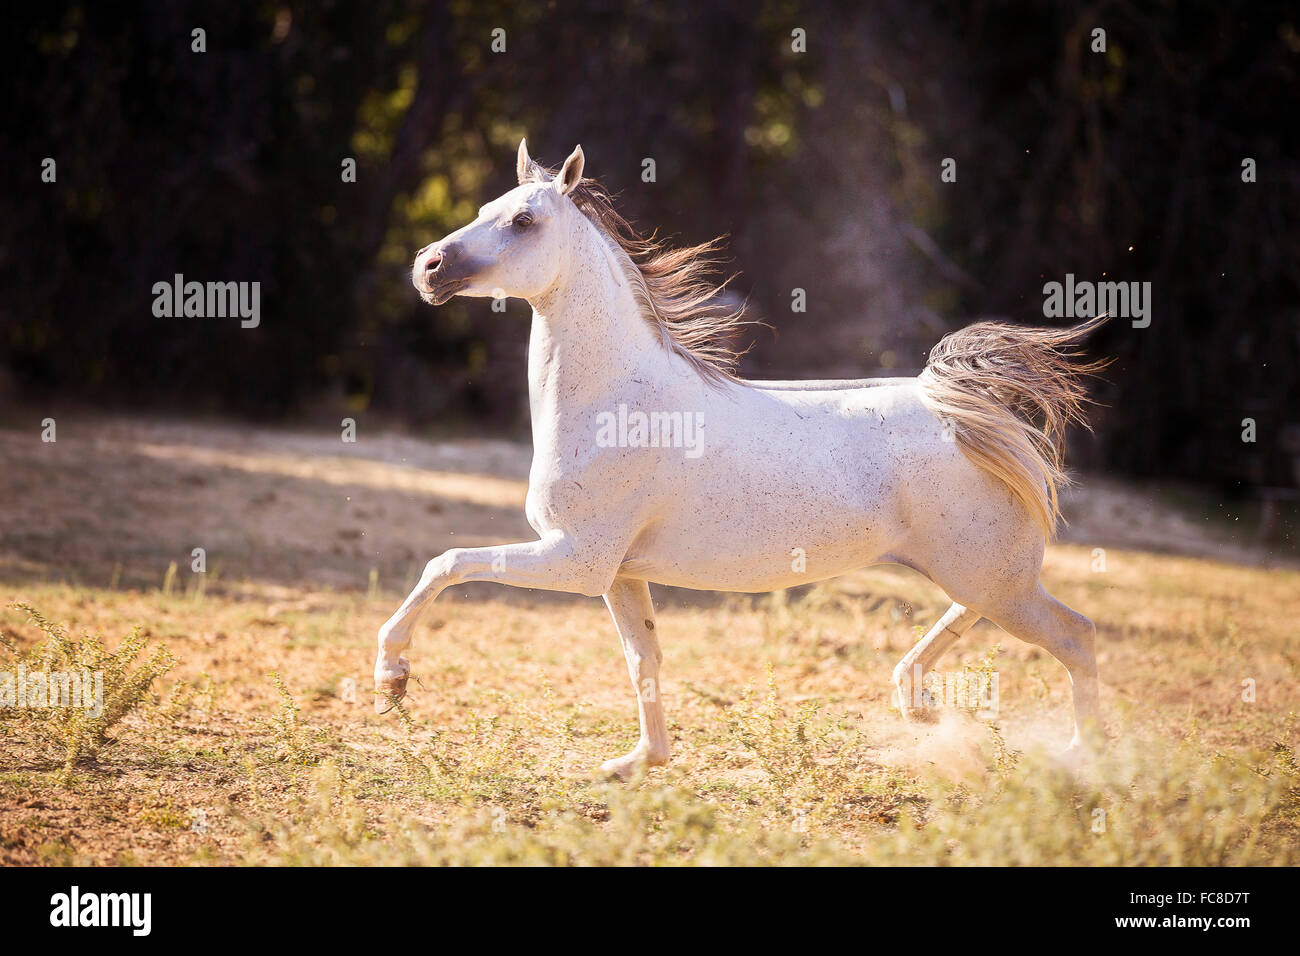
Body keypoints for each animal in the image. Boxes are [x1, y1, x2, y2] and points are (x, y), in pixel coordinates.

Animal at [375, 139, 1107, 778]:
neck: (618, 401)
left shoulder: (574, 559)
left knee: (1077, 637)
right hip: (980, 575)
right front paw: (637, 764)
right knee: (982, 623)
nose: (428, 268)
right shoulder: (618, 574)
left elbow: (448, 563)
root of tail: (958, 410)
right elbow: (644, 660)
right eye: (482, 208)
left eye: (523, 220)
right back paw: (919, 703)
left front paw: (392, 680)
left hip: (993, 580)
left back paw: (1078, 760)